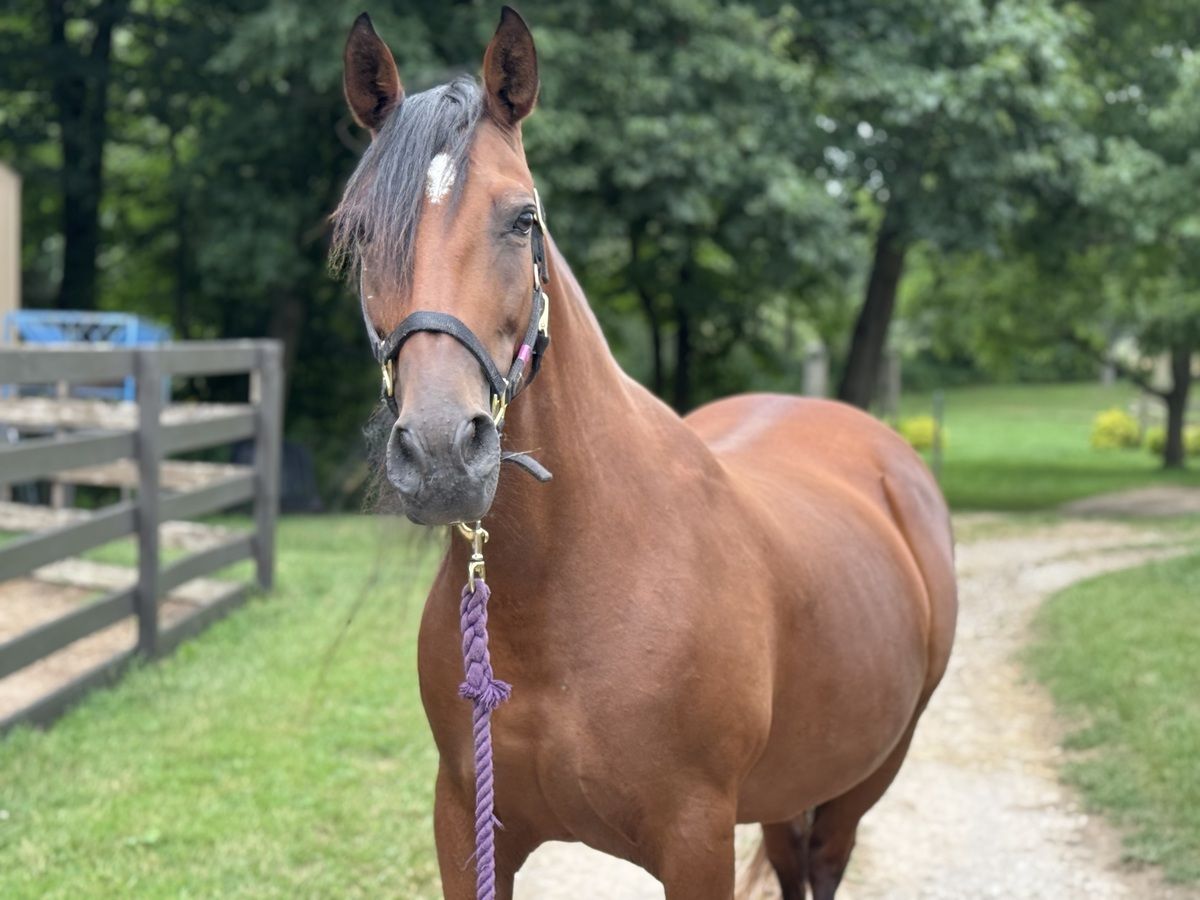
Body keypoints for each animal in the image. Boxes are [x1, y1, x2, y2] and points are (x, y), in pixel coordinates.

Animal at [332, 8, 957, 899]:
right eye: (359, 235)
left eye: (523, 218)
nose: (445, 453)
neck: (569, 580)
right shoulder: (465, 826)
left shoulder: (696, 841)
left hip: (866, 775)